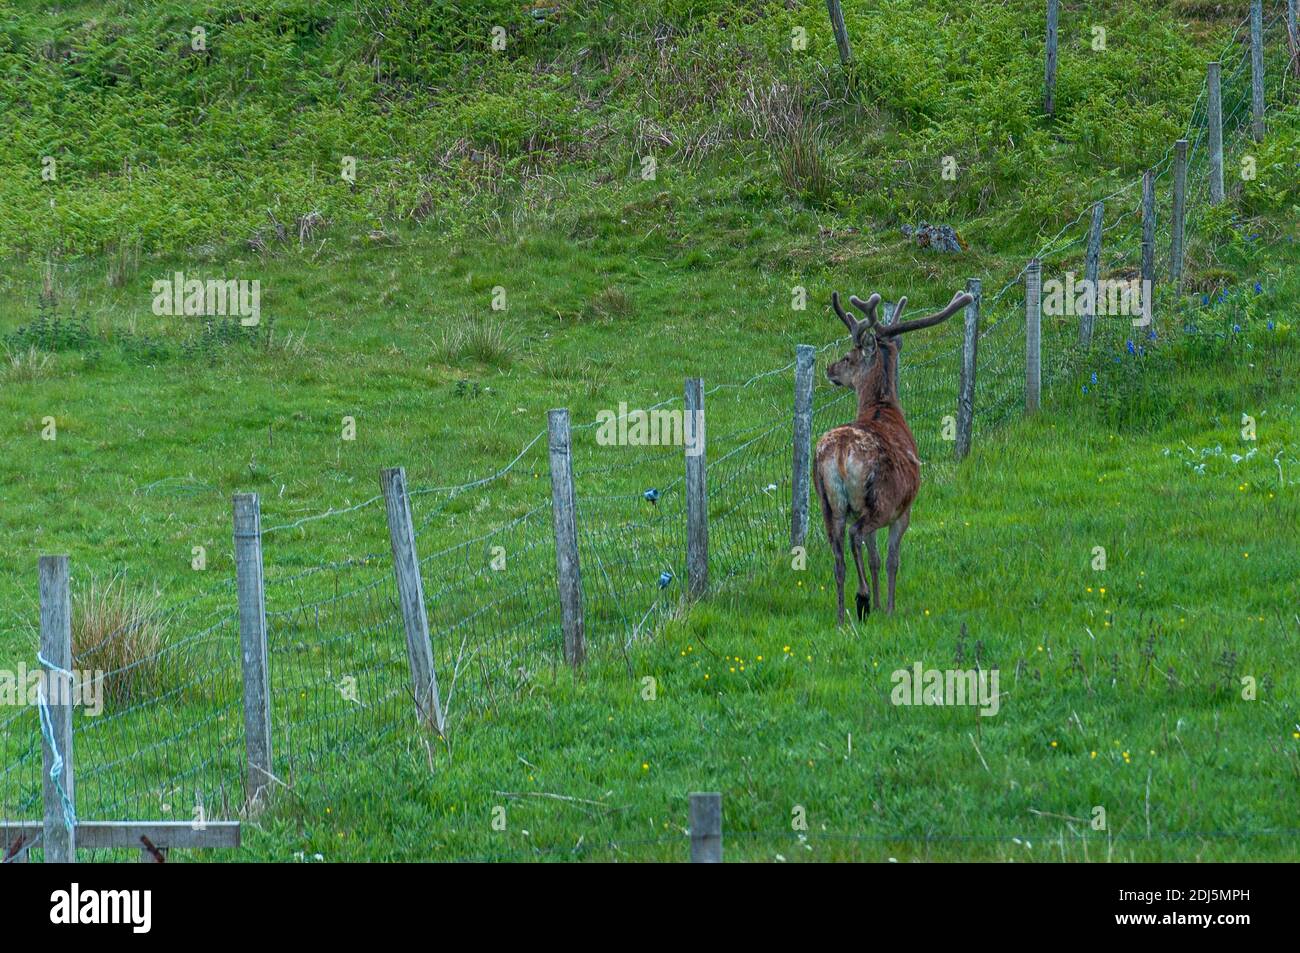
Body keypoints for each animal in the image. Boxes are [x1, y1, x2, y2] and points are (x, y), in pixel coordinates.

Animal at [814, 288, 973, 624]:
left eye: (847, 357)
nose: (830, 369)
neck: (884, 408)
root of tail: (841, 450)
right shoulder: (905, 509)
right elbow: (891, 560)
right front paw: (887, 607)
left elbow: (875, 557)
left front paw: (878, 604)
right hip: (880, 501)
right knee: (856, 535)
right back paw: (861, 597)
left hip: (828, 503)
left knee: (838, 556)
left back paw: (841, 616)